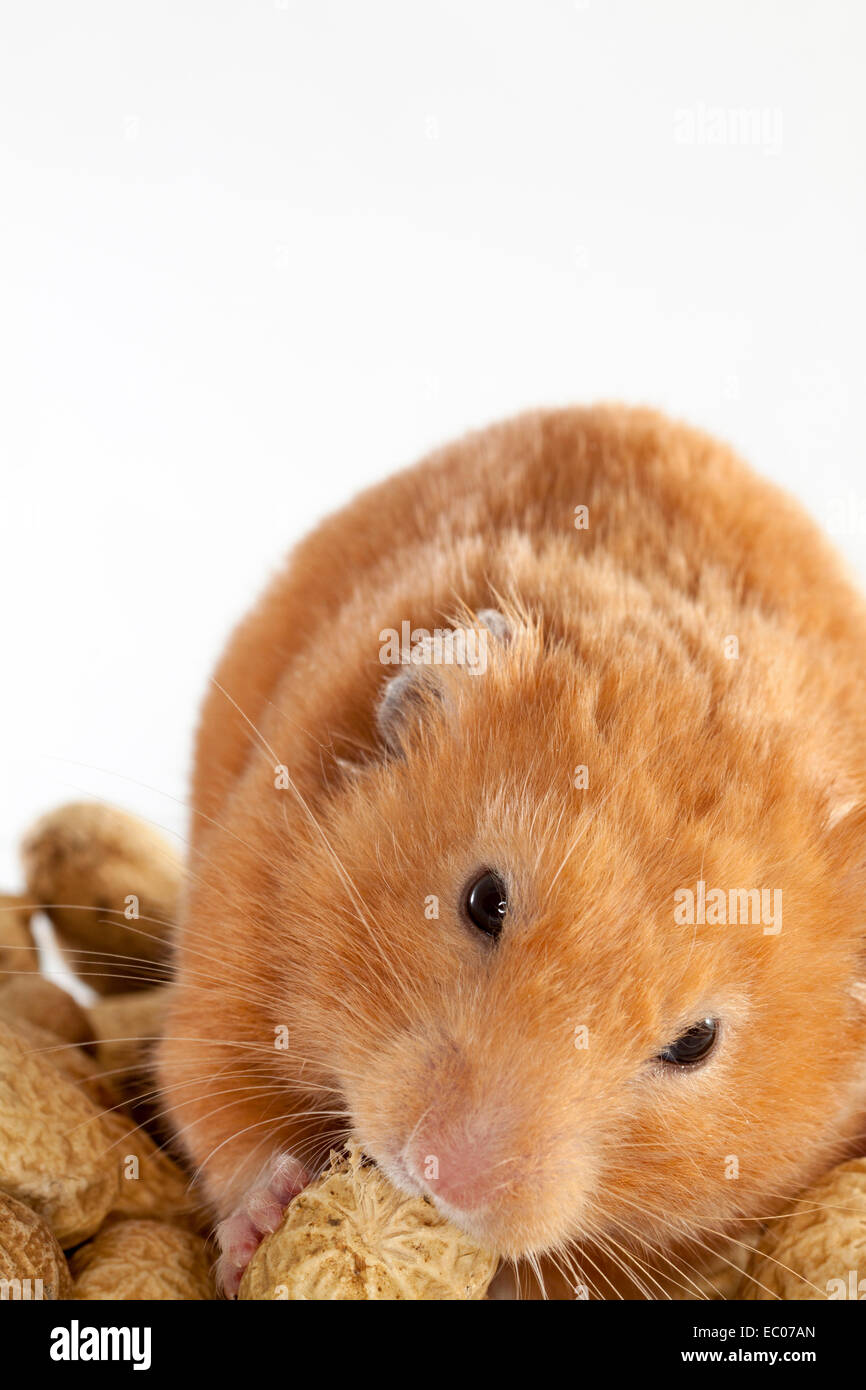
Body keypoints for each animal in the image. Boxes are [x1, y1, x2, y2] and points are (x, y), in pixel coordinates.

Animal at [156, 405, 866, 1298]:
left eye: (696, 1043)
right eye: (483, 902)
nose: (440, 1175)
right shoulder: (234, 948)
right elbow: (221, 1107)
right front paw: (267, 1217)